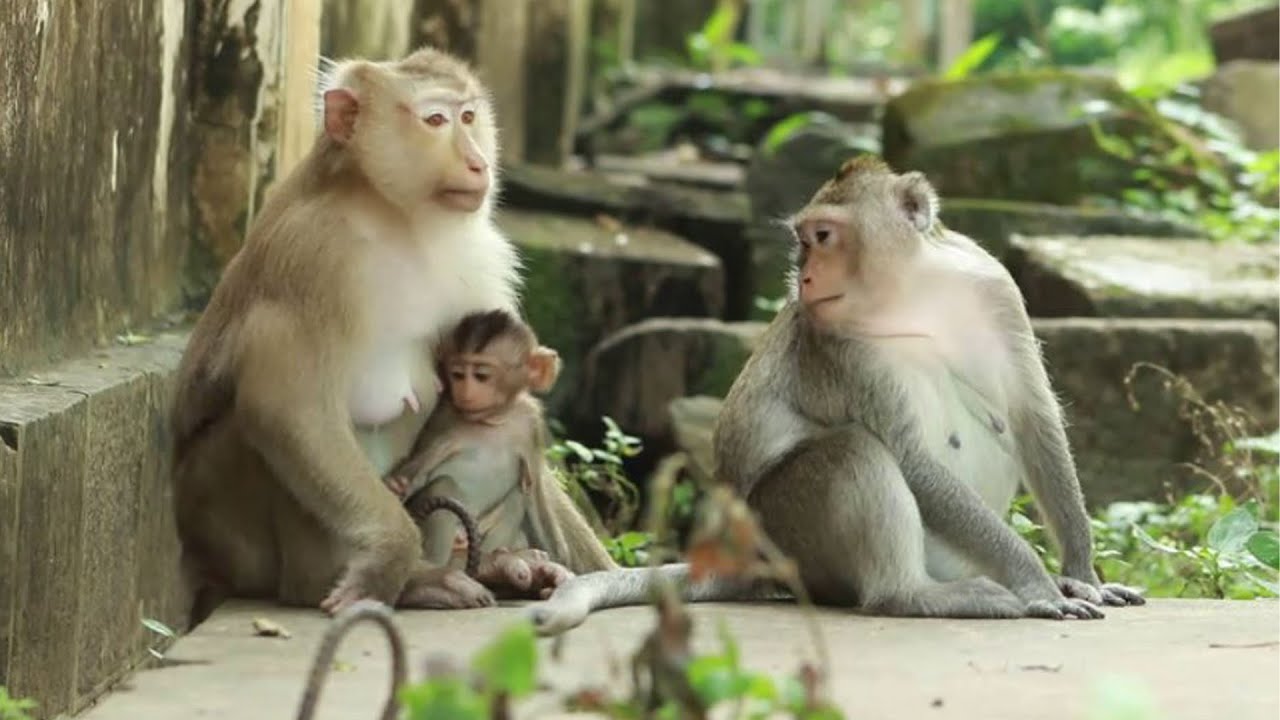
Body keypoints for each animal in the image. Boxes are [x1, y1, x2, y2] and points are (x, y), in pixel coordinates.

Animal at [384, 309, 613, 597]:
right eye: (457, 374)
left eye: (481, 375)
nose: (465, 391)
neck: (493, 420)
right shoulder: (446, 421)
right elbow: (421, 470)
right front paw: (397, 484)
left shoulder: (530, 423)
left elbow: (533, 490)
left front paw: (561, 565)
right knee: (443, 487)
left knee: (517, 498)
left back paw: (495, 564)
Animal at [525, 156, 1145, 635]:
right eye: (802, 242)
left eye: (822, 237)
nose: (804, 278)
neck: (913, 296)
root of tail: (747, 556)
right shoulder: (838, 345)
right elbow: (911, 459)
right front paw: (1037, 581)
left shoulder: (995, 289)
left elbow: (1031, 416)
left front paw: (1080, 574)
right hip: (791, 534)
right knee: (853, 452)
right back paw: (912, 596)